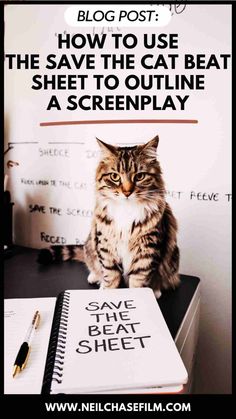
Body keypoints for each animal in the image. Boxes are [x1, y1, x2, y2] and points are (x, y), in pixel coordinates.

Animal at [38, 136, 179, 296]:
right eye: (114, 177)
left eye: (140, 176)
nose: (127, 192)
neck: (126, 210)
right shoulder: (106, 246)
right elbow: (110, 276)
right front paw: (107, 293)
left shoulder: (146, 249)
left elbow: (139, 280)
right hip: (90, 245)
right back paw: (95, 278)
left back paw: (155, 290)